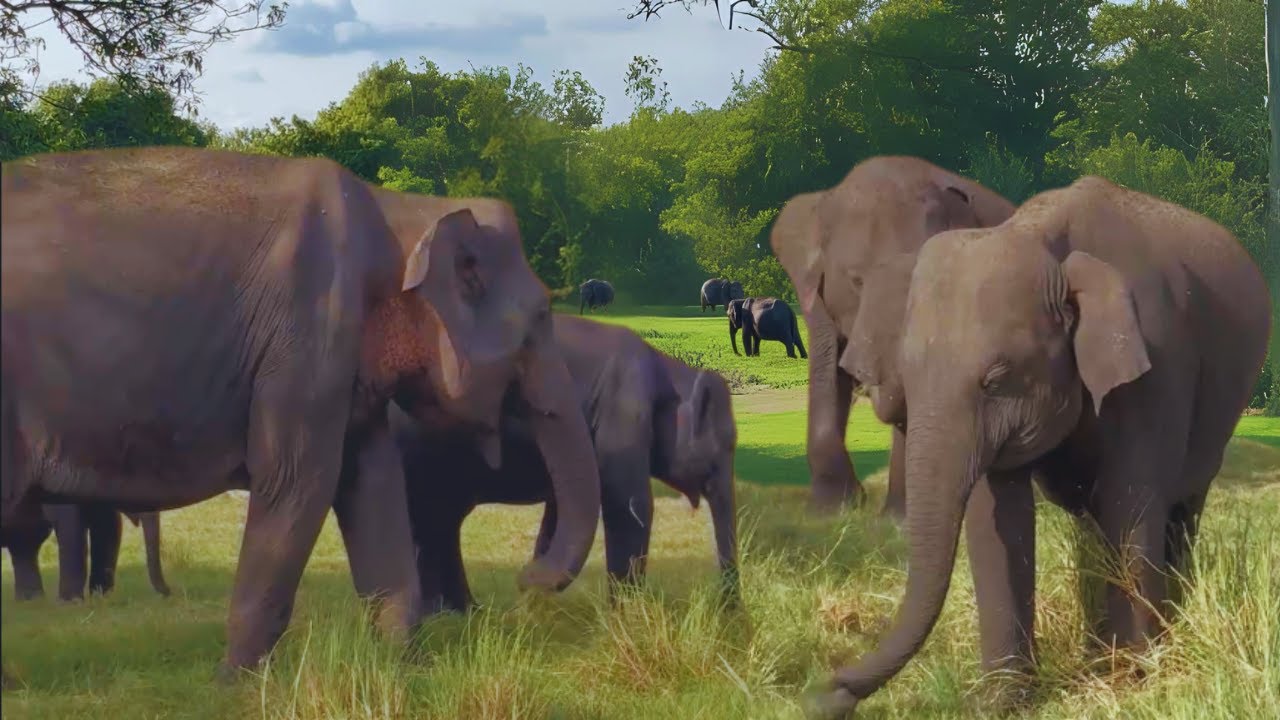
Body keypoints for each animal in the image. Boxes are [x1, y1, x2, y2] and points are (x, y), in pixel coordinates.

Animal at [1, 505, 168, 601]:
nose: (169, 593)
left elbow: (109, 523)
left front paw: (101, 597)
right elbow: (70, 523)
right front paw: (72, 603)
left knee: (24, 542)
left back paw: (31, 601)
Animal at [396, 314, 739, 612]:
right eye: (725, 448)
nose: (732, 615)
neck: (667, 366)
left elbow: (560, 511)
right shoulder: (624, 413)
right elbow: (630, 504)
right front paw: (628, 616)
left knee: (441, 520)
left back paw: (462, 613)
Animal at [769, 156, 1015, 516]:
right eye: (856, 281)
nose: (865, 380)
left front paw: (896, 517)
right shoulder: (817, 295)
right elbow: (826, 367)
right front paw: (833, 509)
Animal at [811, 175, 1271, 718]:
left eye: (996, 380)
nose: (830, 691)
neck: (1041, 238)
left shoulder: (1156, 361)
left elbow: (1131, 501)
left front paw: (1131, 679)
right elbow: (997, 516)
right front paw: (1001, 699)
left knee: (1179, 508)